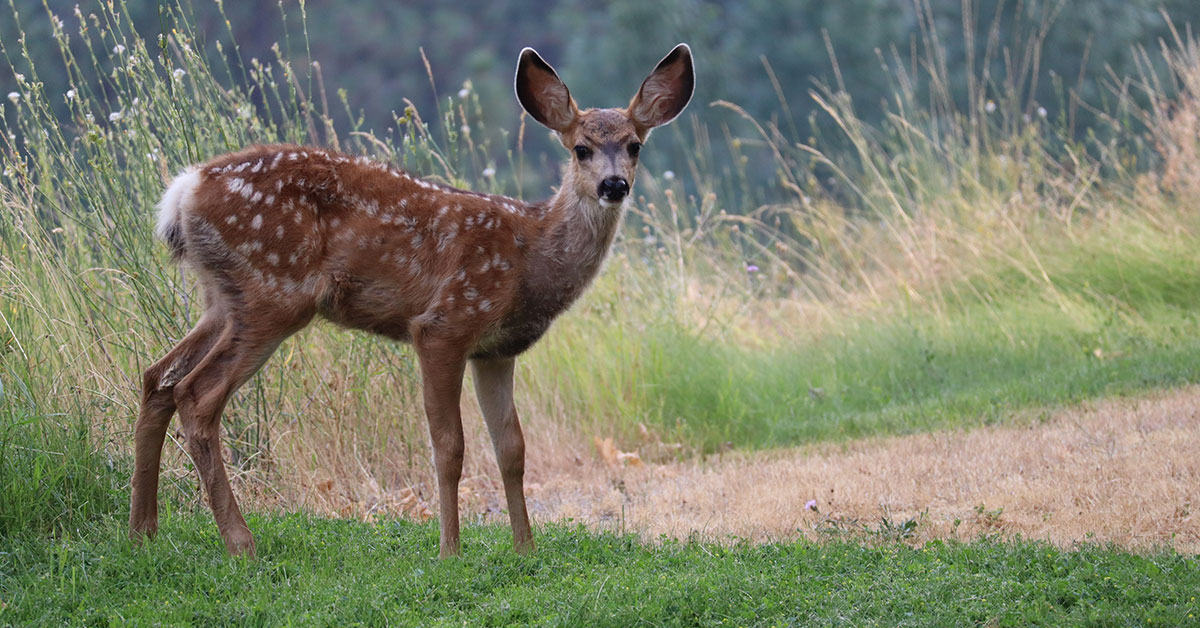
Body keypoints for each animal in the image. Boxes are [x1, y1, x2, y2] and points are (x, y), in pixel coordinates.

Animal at [128, 44, 694, 557]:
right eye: (580, 148)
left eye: (635, 145)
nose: (613, 185)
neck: (530, 256)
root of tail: (183, 191)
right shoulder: (446, 323)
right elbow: (450, 446)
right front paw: (450, 550)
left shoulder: (496, 349)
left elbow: (511, 447)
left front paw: (525, 549)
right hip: (274, 291)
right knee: (197, 394)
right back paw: (240, 543)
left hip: (222, 299)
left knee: (158, 378)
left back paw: (143, 531)